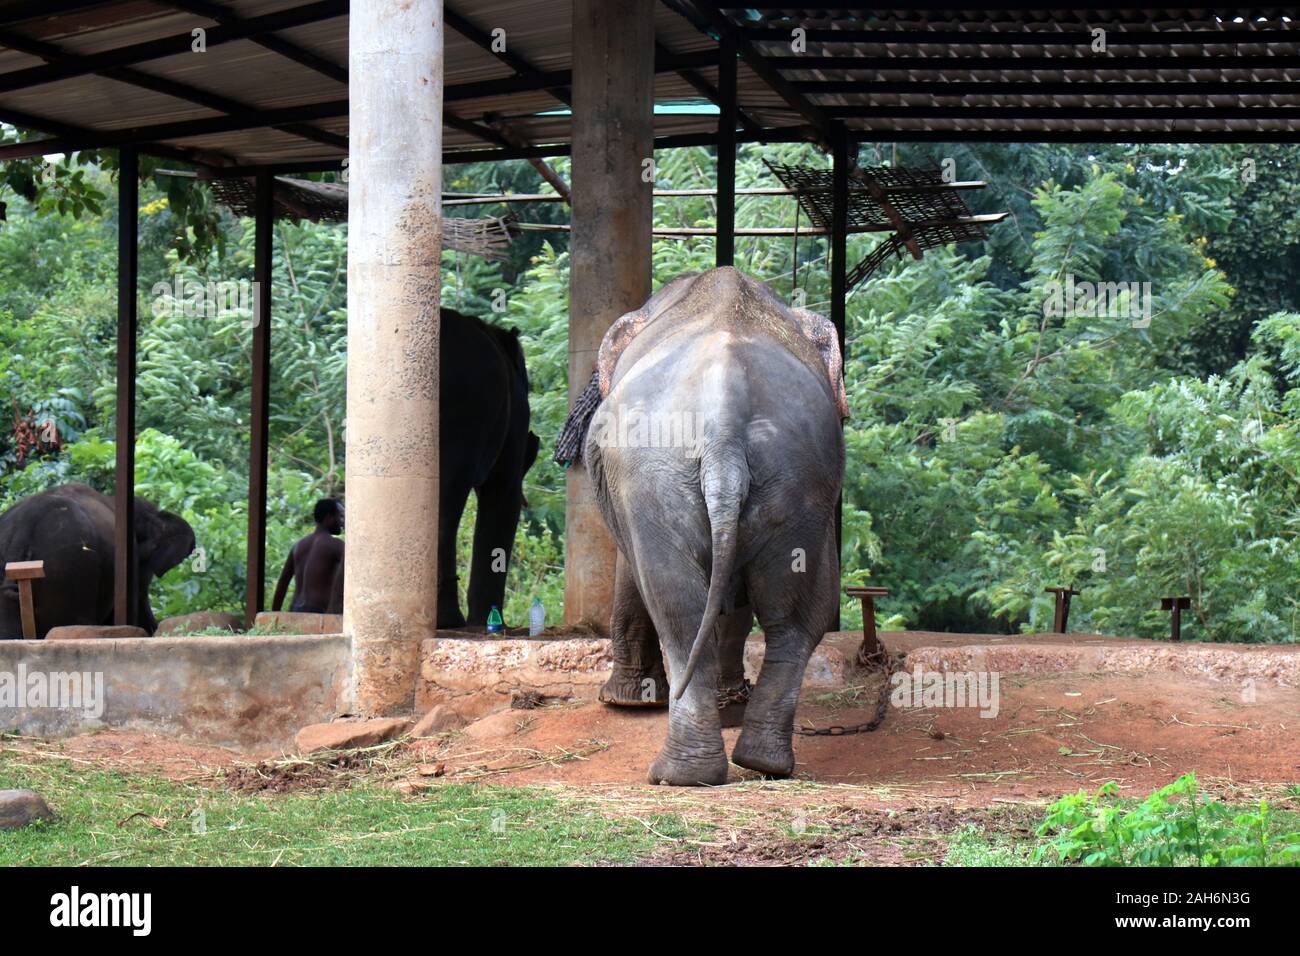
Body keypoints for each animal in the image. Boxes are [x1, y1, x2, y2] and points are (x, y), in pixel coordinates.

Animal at [583, 268, 847, 785]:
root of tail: (724, 423)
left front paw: (622, 701)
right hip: (798, 478)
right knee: (795, 615)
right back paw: (760, 763)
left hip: (654, 481)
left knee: (677, 610)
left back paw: (676, 772)